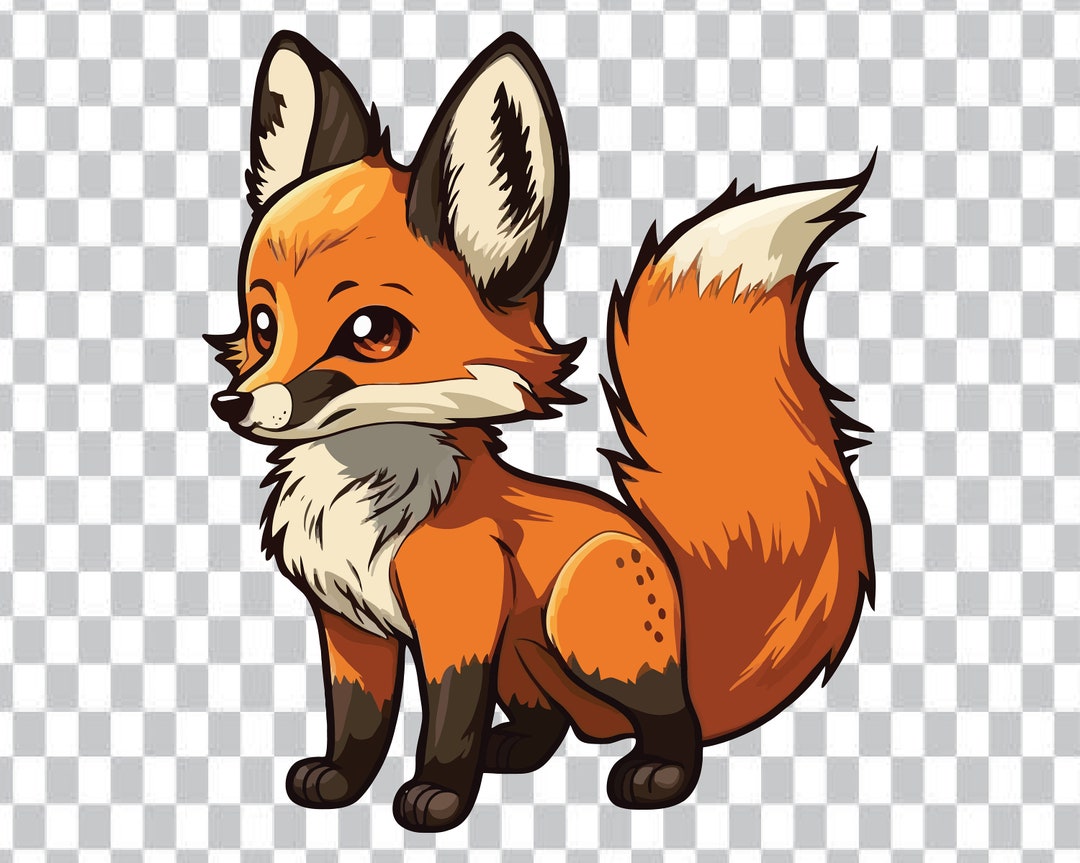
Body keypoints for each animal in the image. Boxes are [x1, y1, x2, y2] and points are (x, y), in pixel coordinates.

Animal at [206, 31, 876, 832]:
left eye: (372, 332)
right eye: (262, 322)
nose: (234, 405)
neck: (365, 498)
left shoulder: (459, 623)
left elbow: (447, 722)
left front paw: (438, 797)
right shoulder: (350, 626)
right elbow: (358, 720)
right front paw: (340, 781)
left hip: (584, 614)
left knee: (672, 715)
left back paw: (659, 773)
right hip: (529, 660)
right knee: (549, 722)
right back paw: (518, 748)